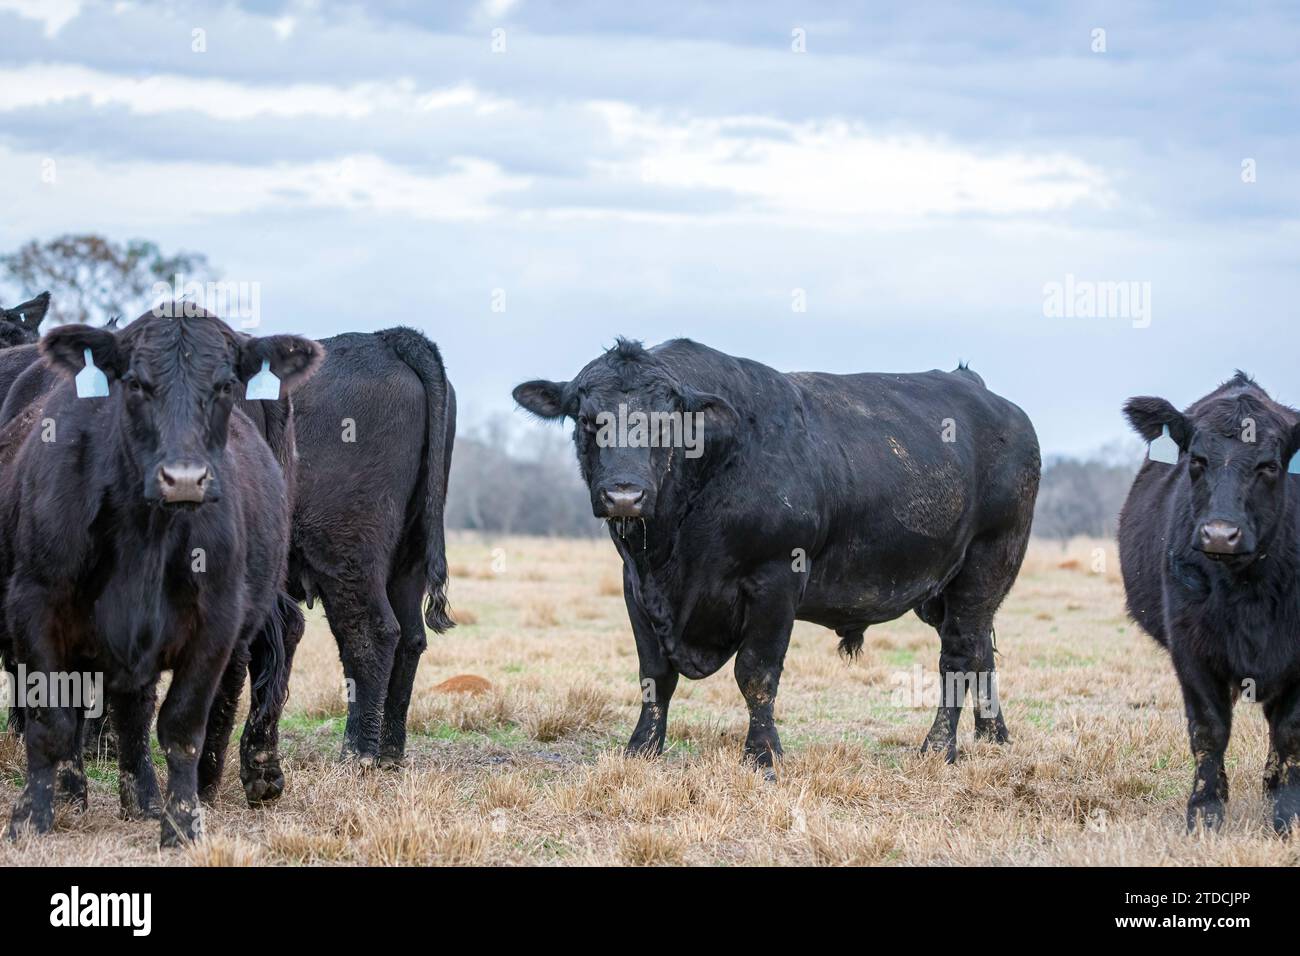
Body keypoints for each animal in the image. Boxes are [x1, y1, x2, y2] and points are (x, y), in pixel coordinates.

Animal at [0, 307, 321, 846]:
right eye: (134, 383)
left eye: (225, 384)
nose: (184, 478)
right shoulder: (34, 607)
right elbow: (52, 717)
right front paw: (31, 819)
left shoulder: (215, 621)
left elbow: (180, 725)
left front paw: (182, 825)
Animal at [513, 338, 1039, 766]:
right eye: (588, 420)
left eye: (667, 424)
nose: (624, 495)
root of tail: (974, 386)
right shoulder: (637, 586)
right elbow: (655, 675)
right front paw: (642, 748)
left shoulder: (775, 579)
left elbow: (757, 673)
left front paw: (763, 754)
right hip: (948, 588)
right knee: (980, 649)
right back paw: (993, 737)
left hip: (987, 563)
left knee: (958, 655)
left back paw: (938, 747)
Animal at [1119, 372, 1300, 834]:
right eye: (1197, 461)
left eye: (1269, 466)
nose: (1220, 534)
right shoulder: (1191, 647)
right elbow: (1209, 730)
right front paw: (1204, 812)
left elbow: (1289, 732)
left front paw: (1288, 815)